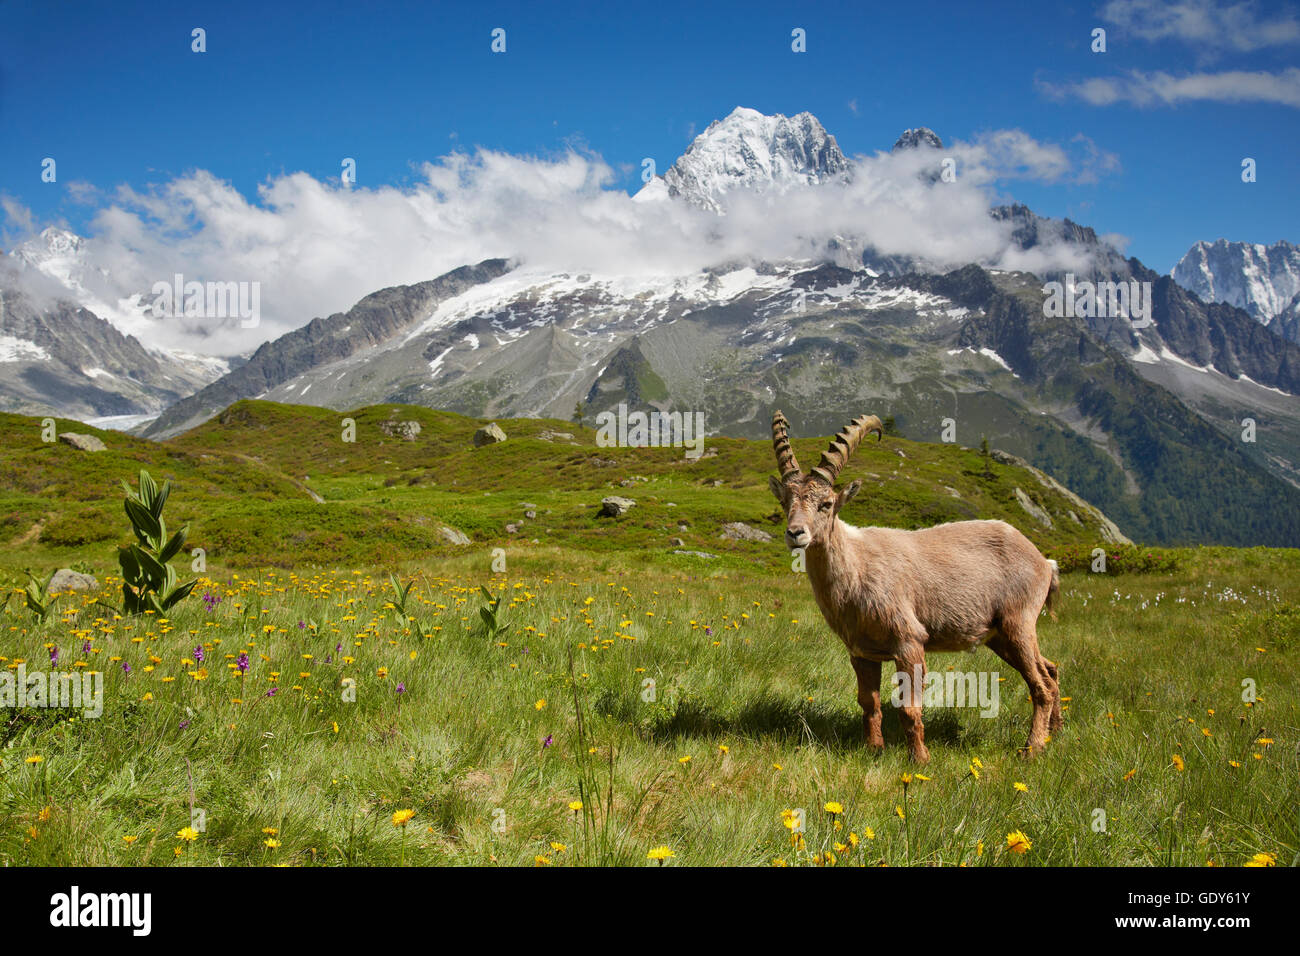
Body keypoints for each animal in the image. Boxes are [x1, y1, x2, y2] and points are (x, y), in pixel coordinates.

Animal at [768, 411, 1062, 762]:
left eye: (826, 503)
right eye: (785, 501)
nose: (795, 533)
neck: (856, 570)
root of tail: (1044, 562)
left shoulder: (909, 641)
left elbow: (909, 708)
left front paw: (920, 759)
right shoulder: (861, 652)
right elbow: (869, 703)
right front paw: (874, 749)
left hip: (1019, 622)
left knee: (1041, 685)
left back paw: (1031, 749)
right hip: (1000, 636)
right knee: (1051, 670)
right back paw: (1056, 734)